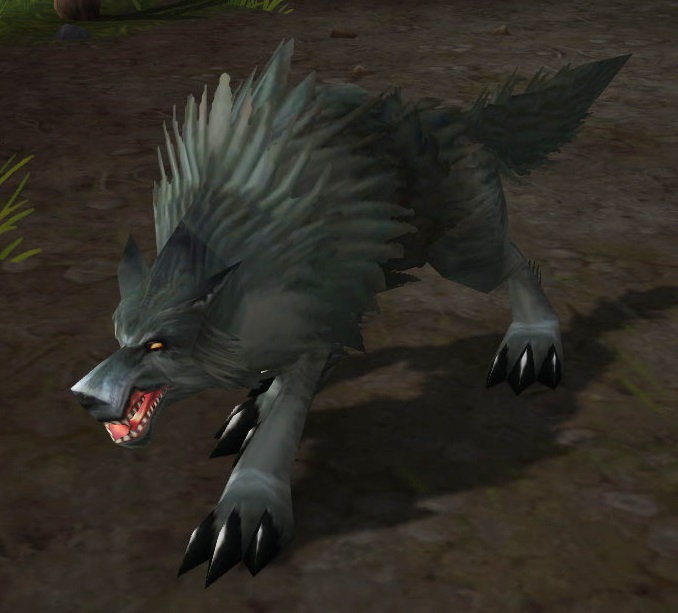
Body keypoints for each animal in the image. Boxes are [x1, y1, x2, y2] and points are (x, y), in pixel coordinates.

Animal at [71, 40, 629, 586]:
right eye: (119, 334)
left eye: (158, 344)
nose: (85, 395)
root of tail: (453, 120)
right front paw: (257, 407)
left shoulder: (312, 305)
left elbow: (288, 412)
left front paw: (246, 510)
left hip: (461, 251)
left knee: (514, 264)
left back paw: (533, 341)